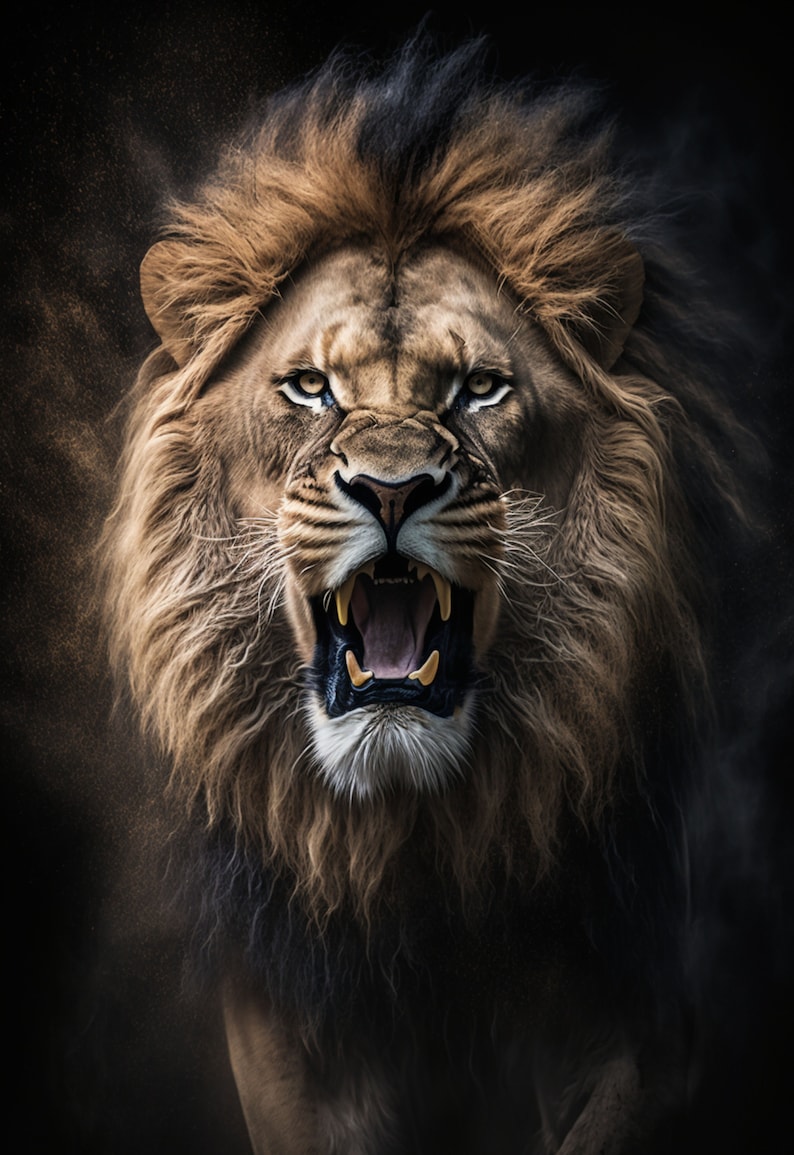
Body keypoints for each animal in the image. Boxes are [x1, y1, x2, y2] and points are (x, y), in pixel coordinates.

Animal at [103, 36, 750, 1154]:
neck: (419, 847)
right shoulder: (286, 1039)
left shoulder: (652, 1022)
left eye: (479, 389)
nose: (394, 488)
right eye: (310, 387)